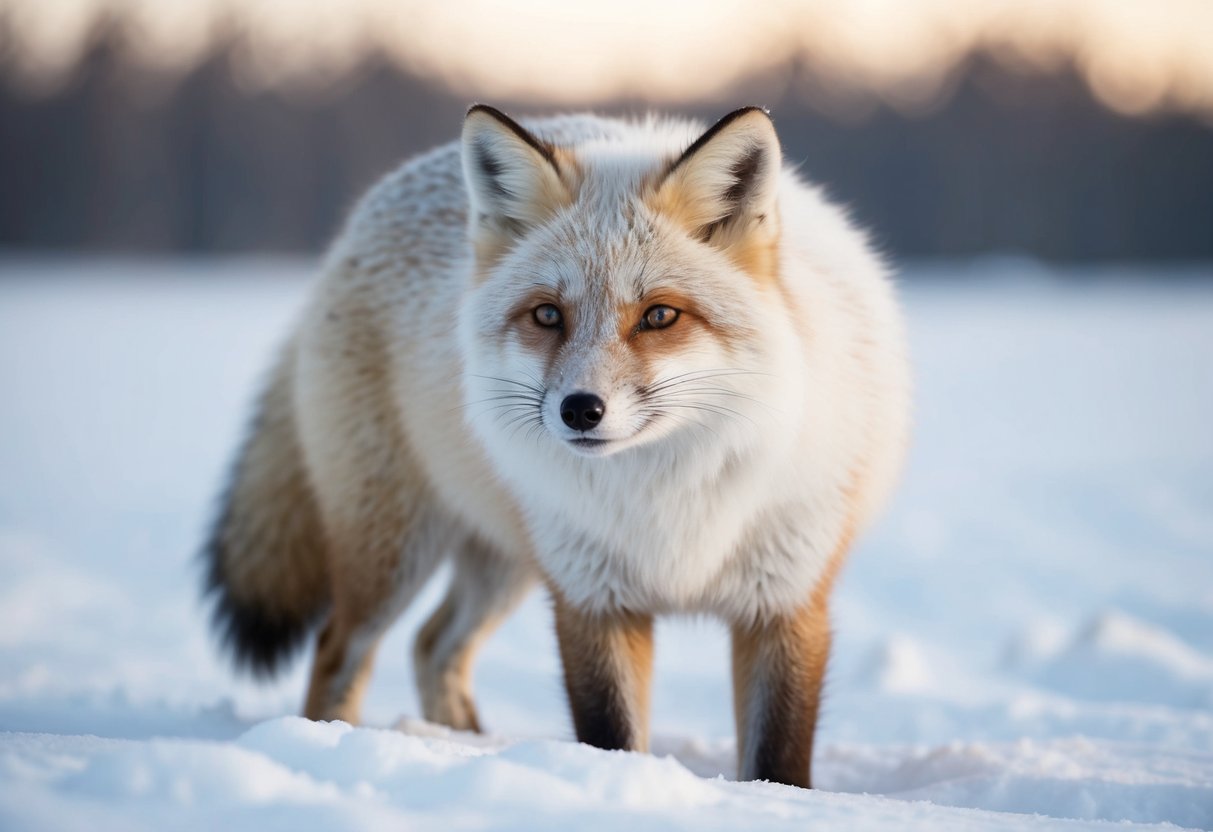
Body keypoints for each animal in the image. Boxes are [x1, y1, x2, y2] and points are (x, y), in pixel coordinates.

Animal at [203, 104, 910, 788]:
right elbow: (610, 735)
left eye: (659, 315)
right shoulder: (591, 597)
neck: (669, 495)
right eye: (548, 315)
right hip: (399, 553)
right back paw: (331, 743)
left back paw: (466, 743)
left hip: (503, 561)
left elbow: (778, 760)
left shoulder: (785, 600)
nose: (580, 409)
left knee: (433, 644)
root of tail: (351, 233)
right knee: (339, 649)